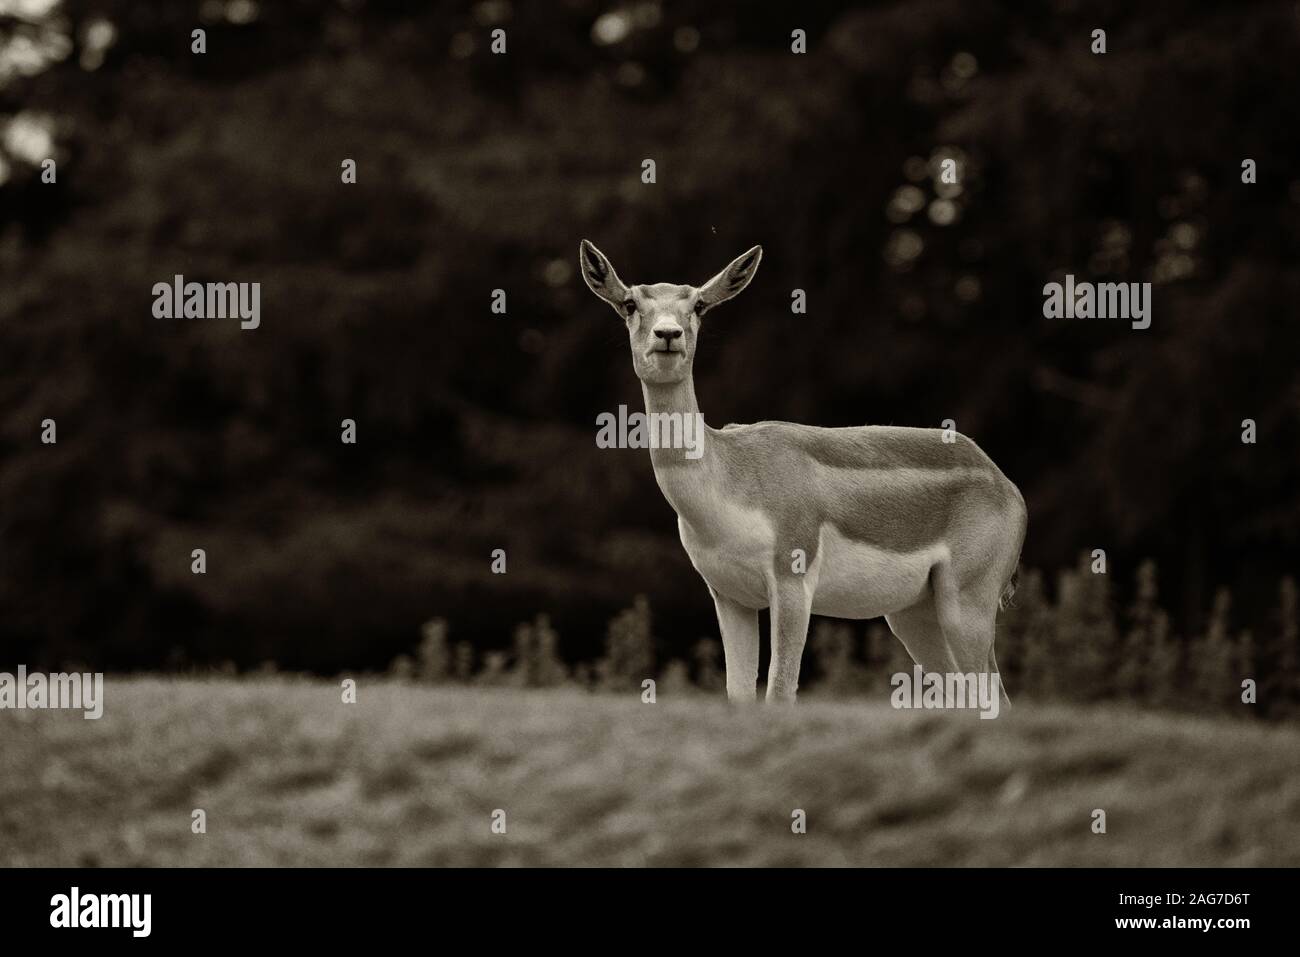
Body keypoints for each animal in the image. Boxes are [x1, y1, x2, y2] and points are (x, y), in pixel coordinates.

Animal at [580, 240, 1028, 705]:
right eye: (630, 303)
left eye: (698, 304)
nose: (668, 335)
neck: (731, 475)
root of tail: (1003, 482)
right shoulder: (730, 597)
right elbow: (738, 695)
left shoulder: (792, 586)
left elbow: (779, 692)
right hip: (913, 615)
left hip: (966, 606)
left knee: (996, 696)